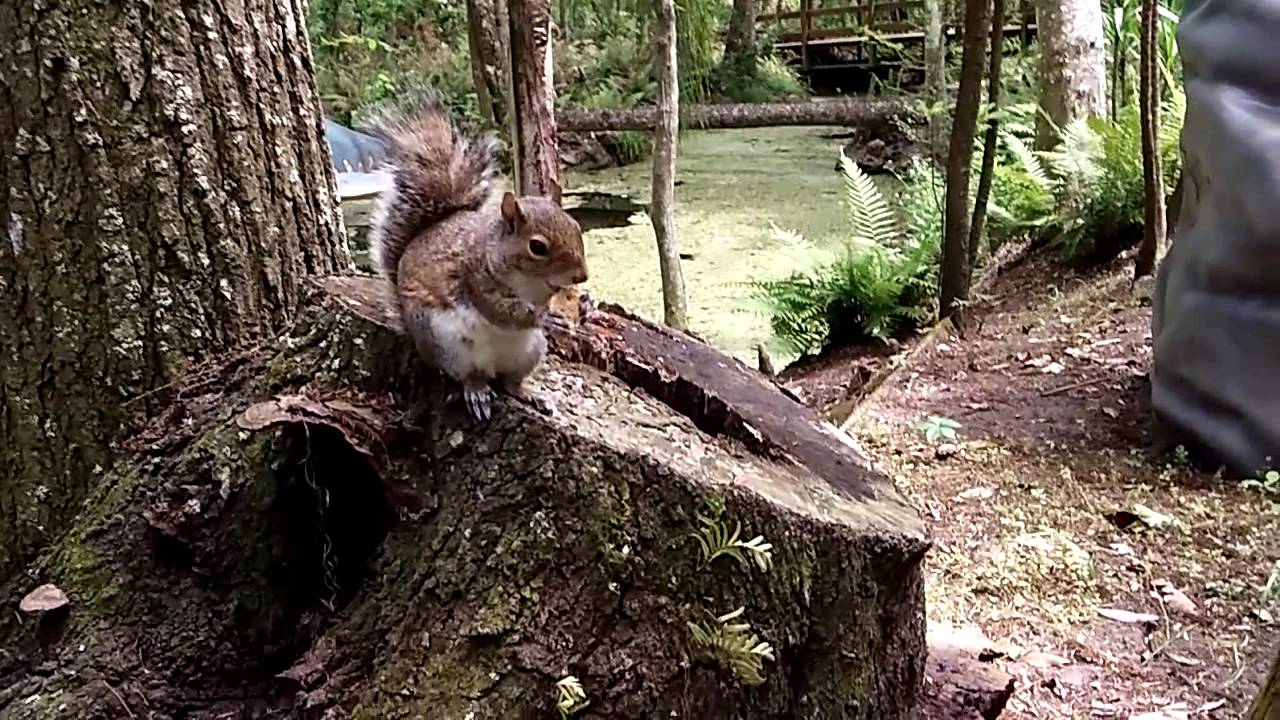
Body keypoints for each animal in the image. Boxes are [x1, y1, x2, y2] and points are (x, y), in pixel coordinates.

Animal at [365, 97, 589, 422]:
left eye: (575, 226)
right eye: (537, 247)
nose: (582, 276)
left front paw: (584, 307)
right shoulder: (475, 279)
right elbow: (501, 311)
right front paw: (545, 318)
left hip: (530, 351)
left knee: (510, 383)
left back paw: (530, 395)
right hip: (446, 344)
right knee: (470, 376)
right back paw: (478, 392)